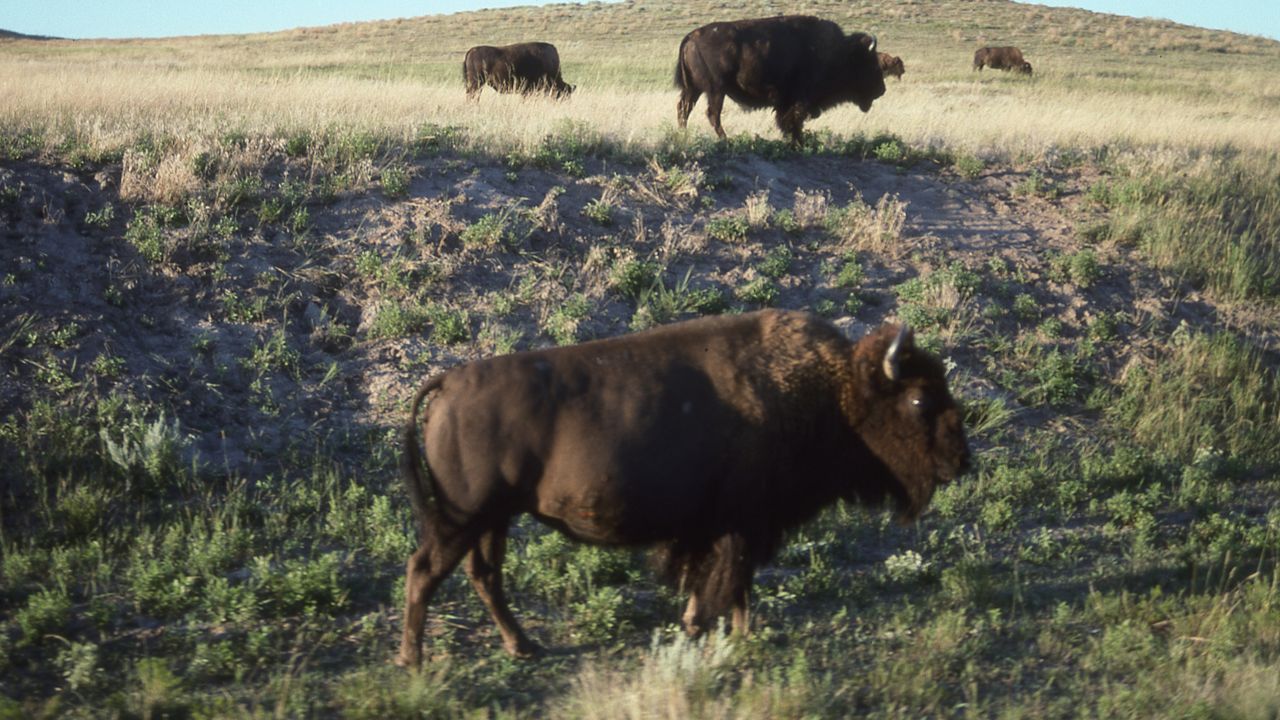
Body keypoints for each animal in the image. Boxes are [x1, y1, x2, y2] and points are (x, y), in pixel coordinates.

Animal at [395, 310, 971, 666]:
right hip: (464, 516)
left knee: (484, 575)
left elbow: (726, 583)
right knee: (425, 571)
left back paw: (523, 647)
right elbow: (731, 581)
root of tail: (449, 382)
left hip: (493, 518)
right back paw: (414, 660)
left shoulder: (730, 528)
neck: (835, 390)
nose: (960, 460)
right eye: (920, 400)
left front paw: (722, 630)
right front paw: (719, 631)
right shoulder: (744, 525)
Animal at [674, 15, 886, 144]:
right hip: (716, 89)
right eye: (871, 63)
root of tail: (691, 36)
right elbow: (793, 121)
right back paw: (726, 139)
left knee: (684, 109)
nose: (881, 90)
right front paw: (798, 142)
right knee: (712, 114)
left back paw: (684, 134)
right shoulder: (799, 100)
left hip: (694, 89)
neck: (839, 53)